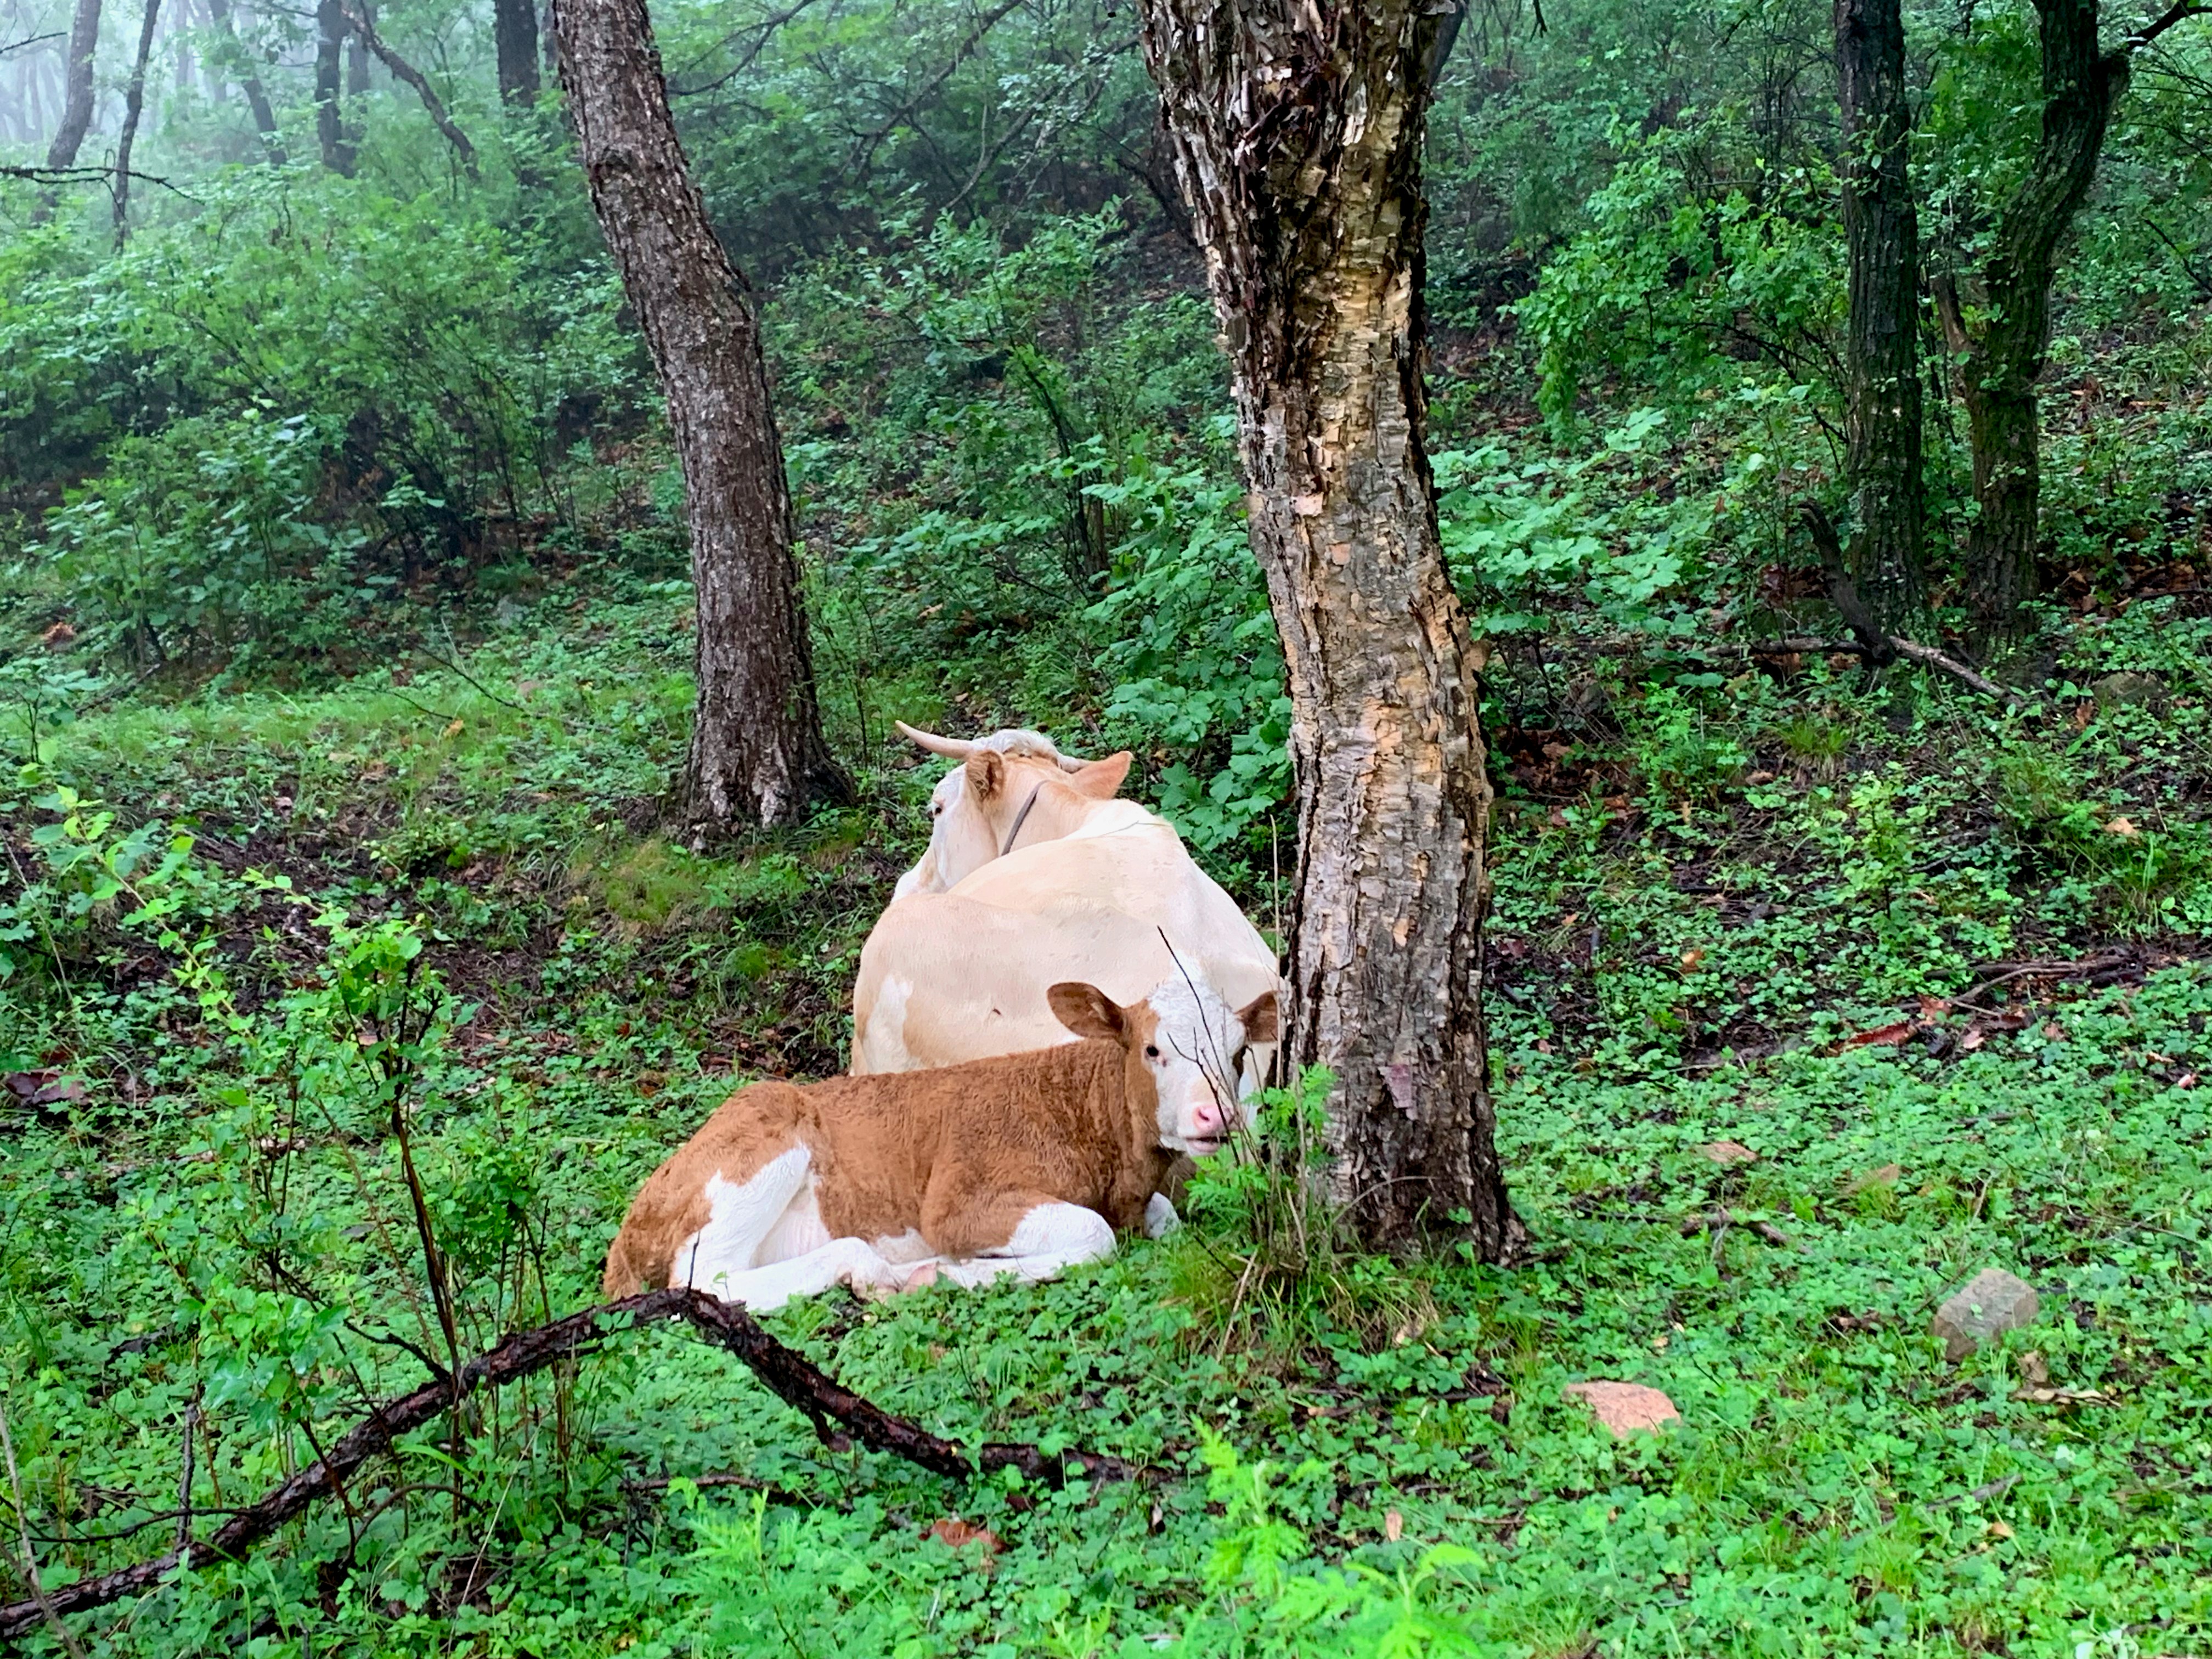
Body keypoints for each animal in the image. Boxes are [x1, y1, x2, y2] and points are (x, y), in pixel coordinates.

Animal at [602, 979, 1278, 1311]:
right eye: (1152, 1050)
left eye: (1239, 1054)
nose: (1214, 1114)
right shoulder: (957, 1203)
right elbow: (1094, 1235)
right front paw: (960, 1274)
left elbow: (1164, 1218)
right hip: (761, 1143)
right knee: (702, 1280)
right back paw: (873, 1269)